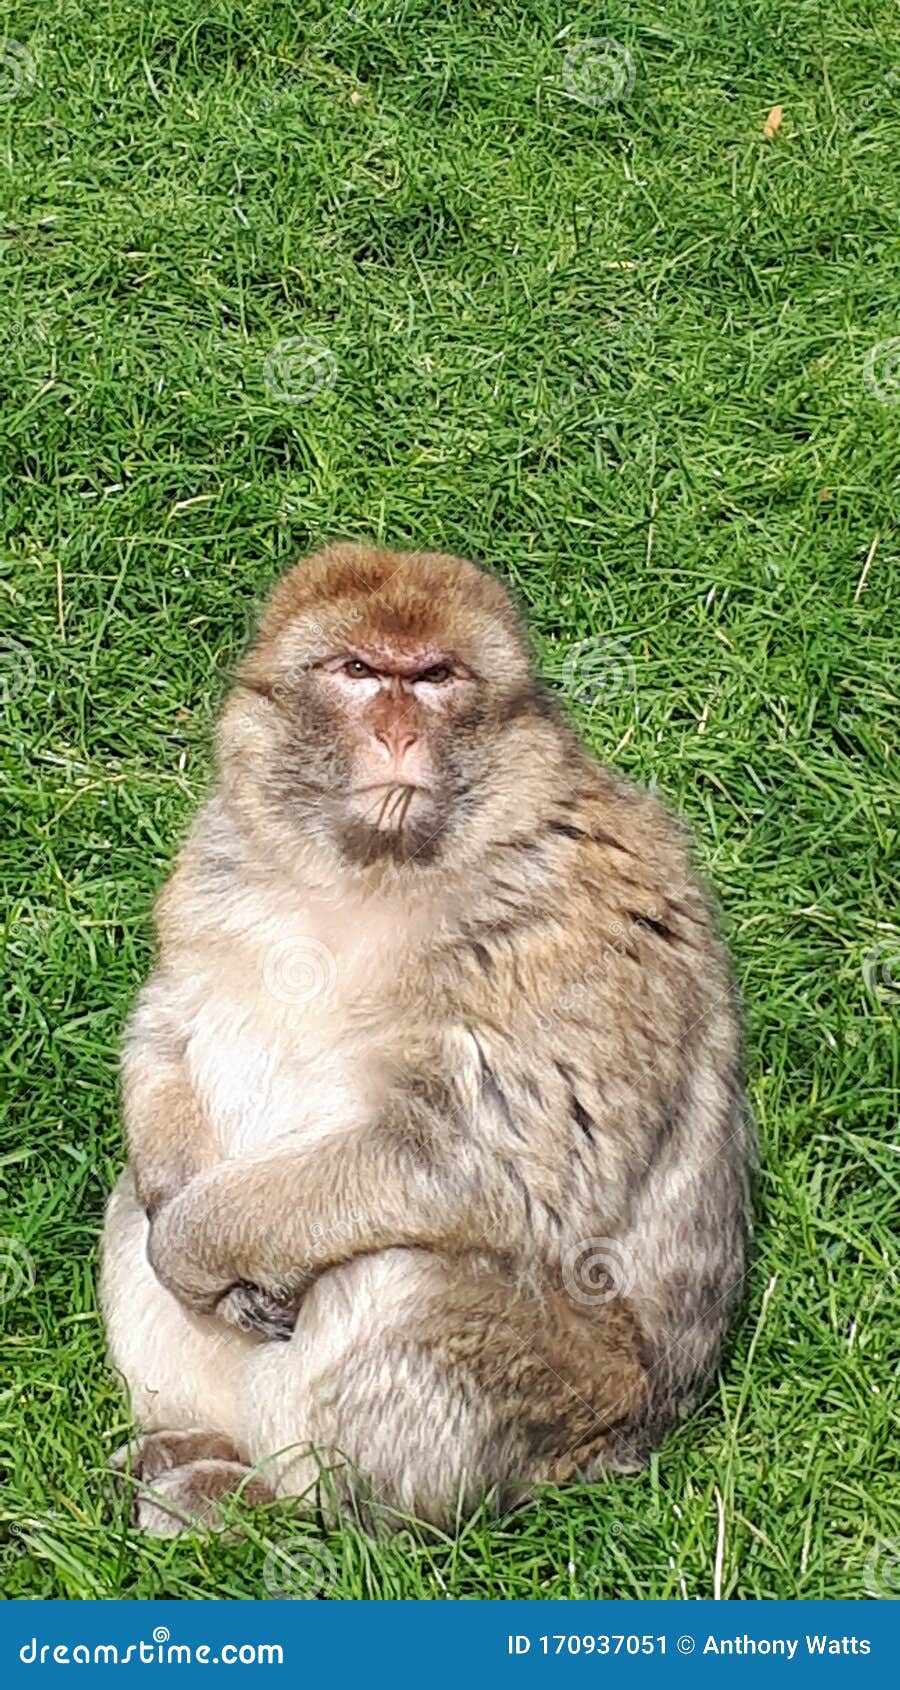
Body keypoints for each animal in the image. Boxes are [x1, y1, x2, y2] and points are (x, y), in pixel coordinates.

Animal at [100, 542, 752, 1535]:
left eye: (437, 677)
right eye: (361, 671)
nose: (398, 733)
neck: (375, 869)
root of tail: (632, 1440)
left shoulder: (559, 924)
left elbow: (475, 1161)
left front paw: (197, 1243)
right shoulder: (213, 869)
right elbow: (166, 1030)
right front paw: (180, 1201)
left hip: (561, 1406)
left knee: (403, 1268)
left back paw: (289, 1508)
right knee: (127, 1204)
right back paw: (196, 1448)